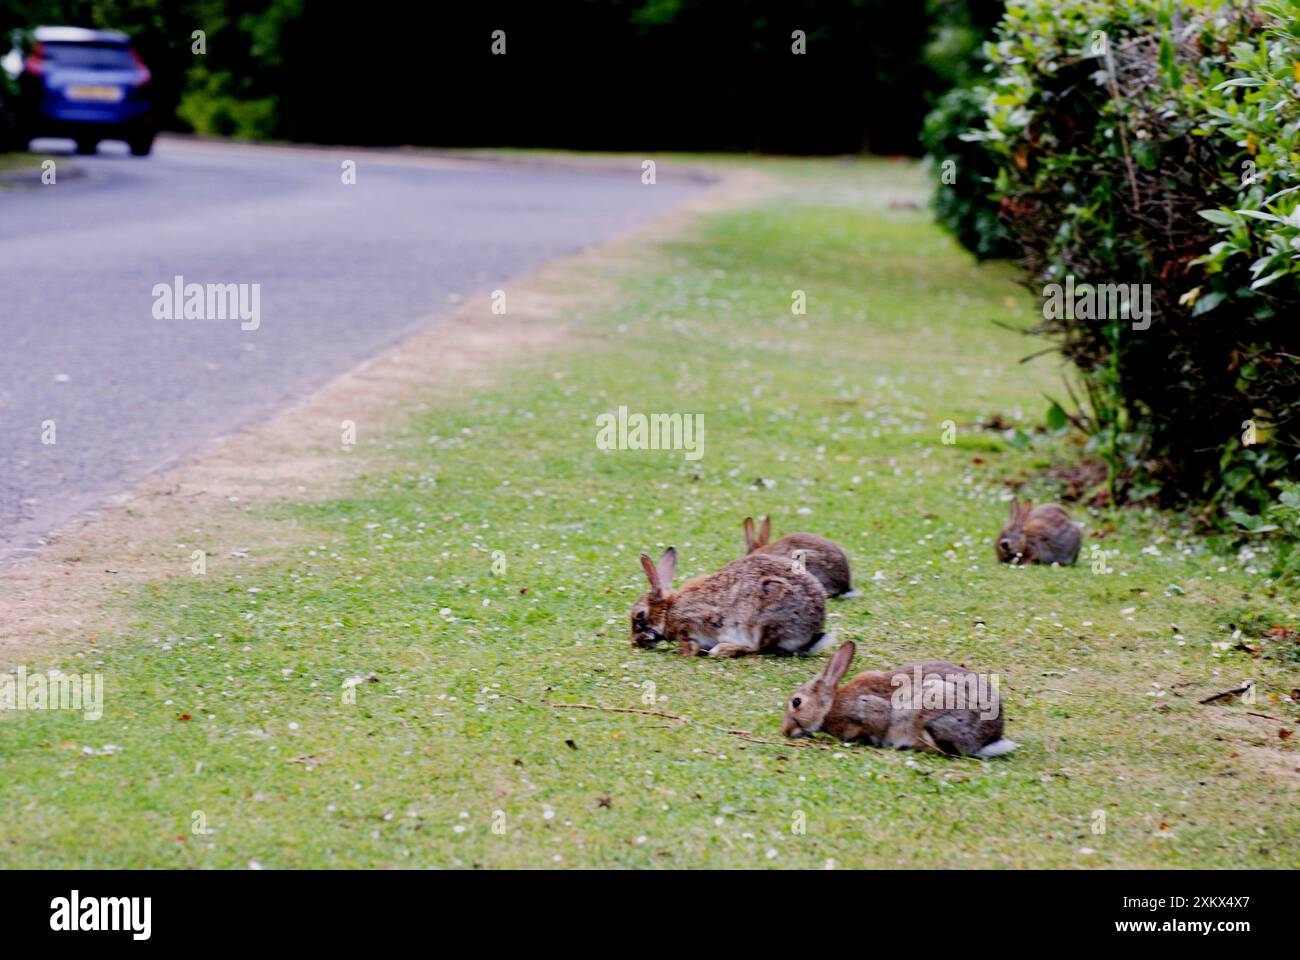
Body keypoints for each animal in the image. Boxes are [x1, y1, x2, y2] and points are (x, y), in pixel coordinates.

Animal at [630, 547, 827, 657]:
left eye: (639, 615)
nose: (634, 642)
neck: (669, 610)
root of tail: (811, 632)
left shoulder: (688, 626)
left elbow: (690, 648)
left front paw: (680, 652)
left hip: (764, 617)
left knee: (757, 648)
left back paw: (721, 650)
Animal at [781, 641, 1018, 758]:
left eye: (796, 702)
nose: (785, 731)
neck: (830, 705)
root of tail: (987, 740)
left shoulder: (868, 710)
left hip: (931, 708)